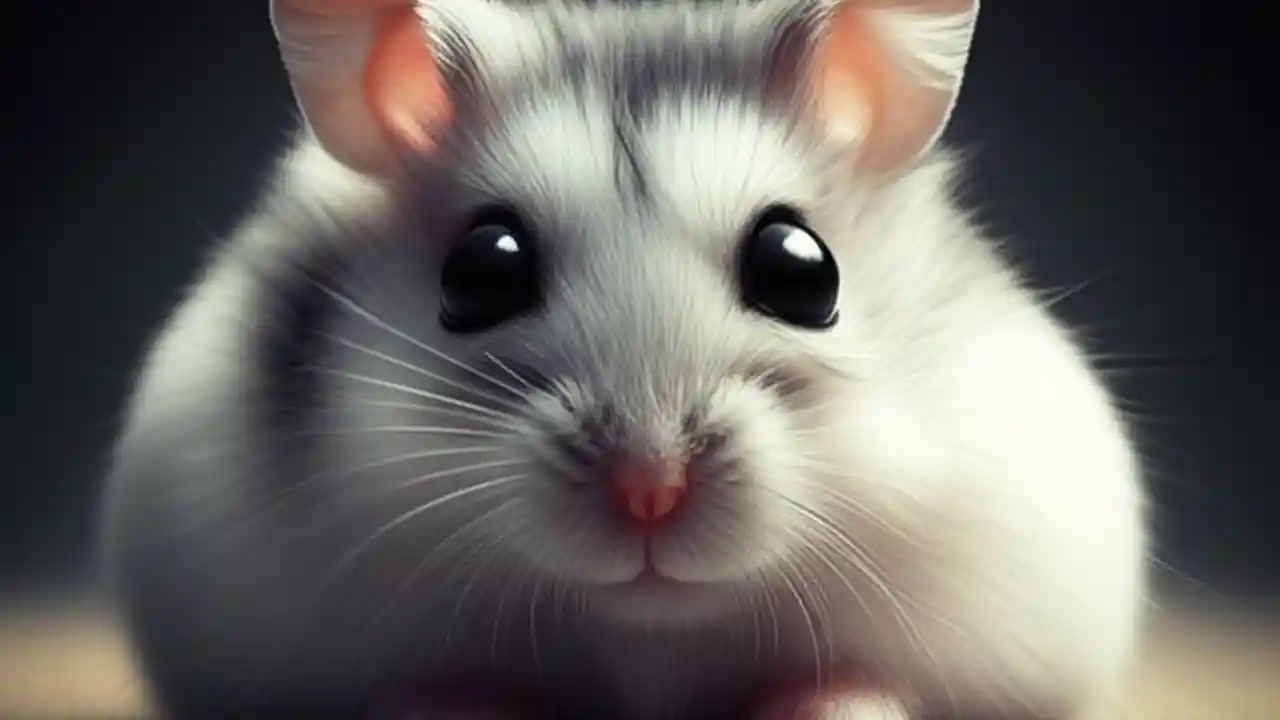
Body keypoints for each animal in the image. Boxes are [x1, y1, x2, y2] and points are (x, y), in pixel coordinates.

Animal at [99, 1, 1148, 718]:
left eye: (800, 270)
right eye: (483, 269)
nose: (650, 490)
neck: (646, 634)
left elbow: (851, 688)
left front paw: (832, 701)